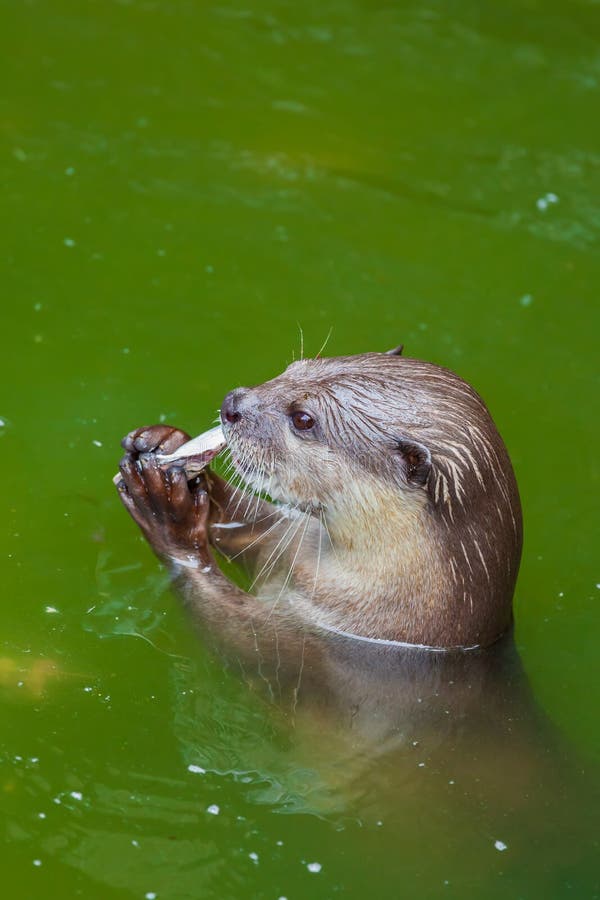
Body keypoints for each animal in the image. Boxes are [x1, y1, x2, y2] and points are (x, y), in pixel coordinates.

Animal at [115, 348, 522, 653]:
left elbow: (234, 631)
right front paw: (165, 441)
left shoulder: (310, 642)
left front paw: (167, 511)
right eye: (292, 368)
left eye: (303, 419)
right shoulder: (290, 541)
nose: (232, 402)